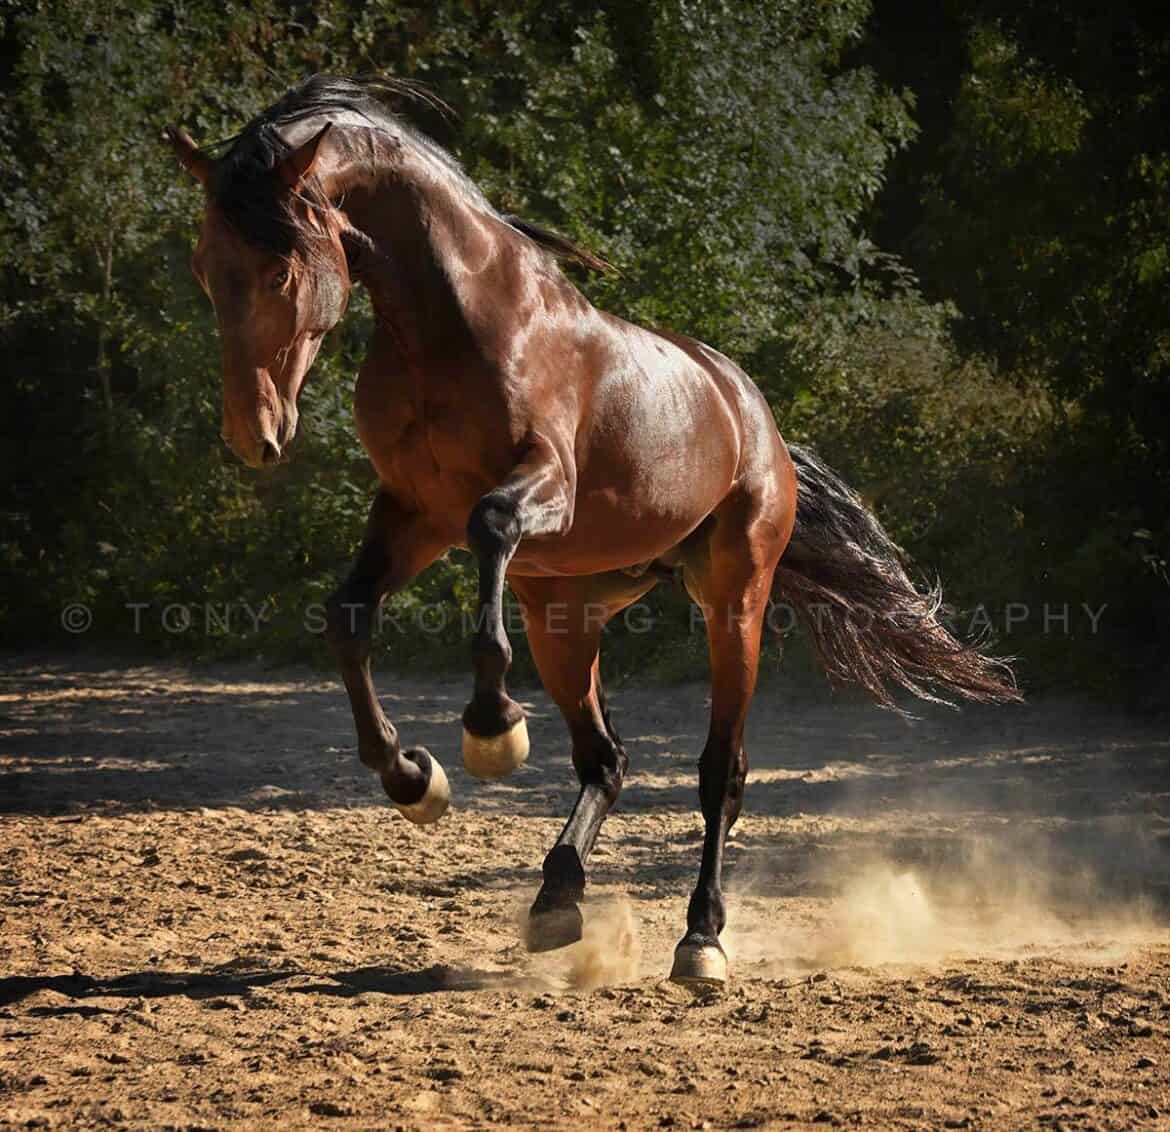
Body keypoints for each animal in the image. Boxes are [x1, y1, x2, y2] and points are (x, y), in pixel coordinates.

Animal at [167, 74, 1018, 987]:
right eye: (204, 268)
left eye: (282, 265)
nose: (253, 435)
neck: (454, 326)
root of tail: (753, 412)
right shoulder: (413, 514)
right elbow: (349, 617)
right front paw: (413, 779)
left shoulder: (541, 490)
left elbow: (492, 530)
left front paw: (491, 729)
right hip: (567, 613)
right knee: (605, 759)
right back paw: (556, 902)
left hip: (732, 601)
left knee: (721, 774)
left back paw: (700, 940)